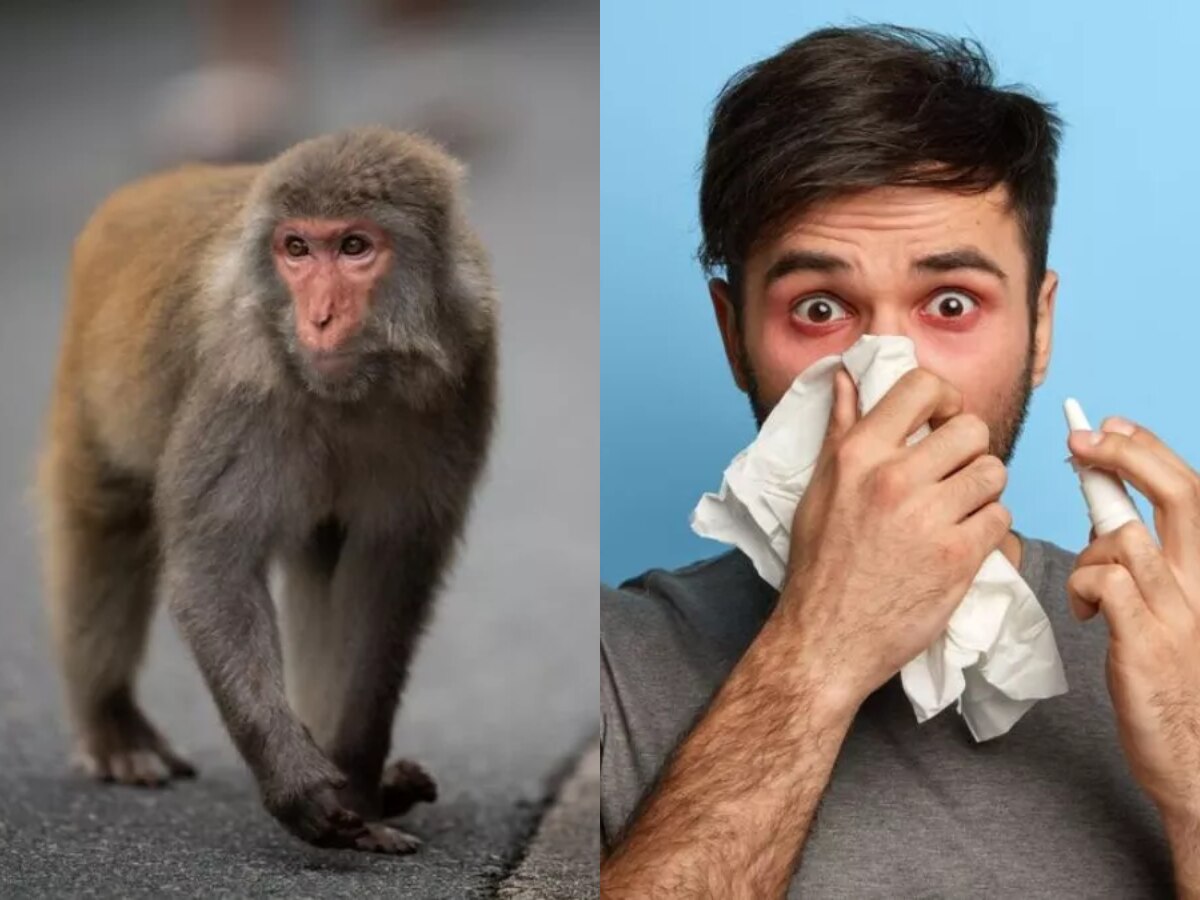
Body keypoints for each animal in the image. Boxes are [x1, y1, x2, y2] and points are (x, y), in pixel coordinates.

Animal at [36, 127, 497, 854]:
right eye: (297, 249)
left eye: (355, 247)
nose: (321, 317)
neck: (354, 389)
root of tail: (145, 191)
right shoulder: (242, 381)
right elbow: (214, 567)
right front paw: (297, 783)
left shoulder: (464, 365)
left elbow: (386, 574)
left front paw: (357, 782)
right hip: (90, 390)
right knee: (105, 518)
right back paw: (113, 725)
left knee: (324, 558)